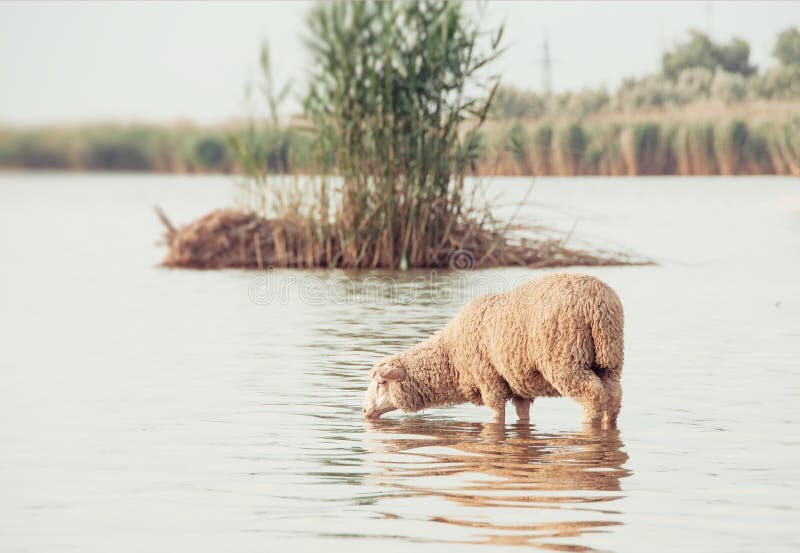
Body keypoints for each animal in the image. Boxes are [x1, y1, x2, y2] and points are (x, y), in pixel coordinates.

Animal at [362, 272, 624, 426]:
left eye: (381, 383)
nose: (364, 410)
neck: (451, 357)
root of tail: (599, 299)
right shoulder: (519, 385)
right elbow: (523, 414)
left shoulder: (489, 381)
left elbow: (497, 417)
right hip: (610, 359)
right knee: (613, 396)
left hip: (566, 359)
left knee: (592, 396)